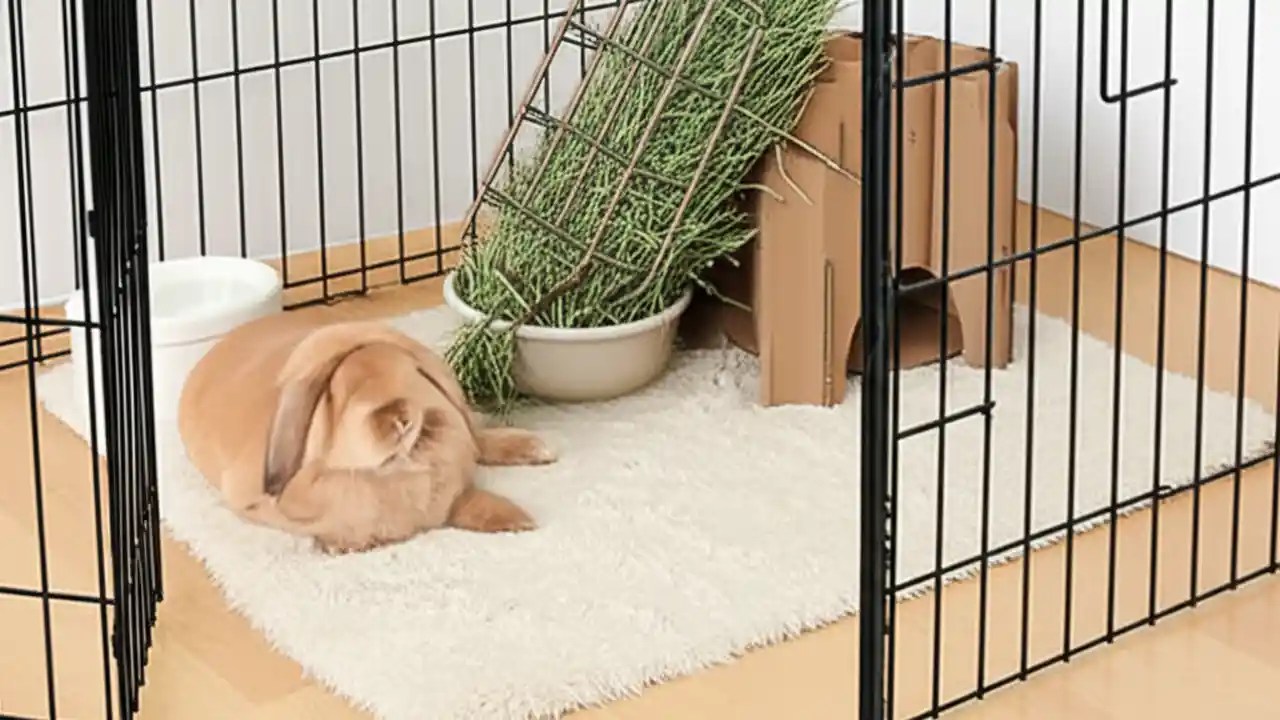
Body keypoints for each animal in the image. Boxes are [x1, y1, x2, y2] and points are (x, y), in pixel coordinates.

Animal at [178, 312, 555, 554]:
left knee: (479, 437)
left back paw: (538, 447)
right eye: (338, 394)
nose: (399, 417)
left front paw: (519, 520)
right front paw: (342, 546)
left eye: (412, 375)